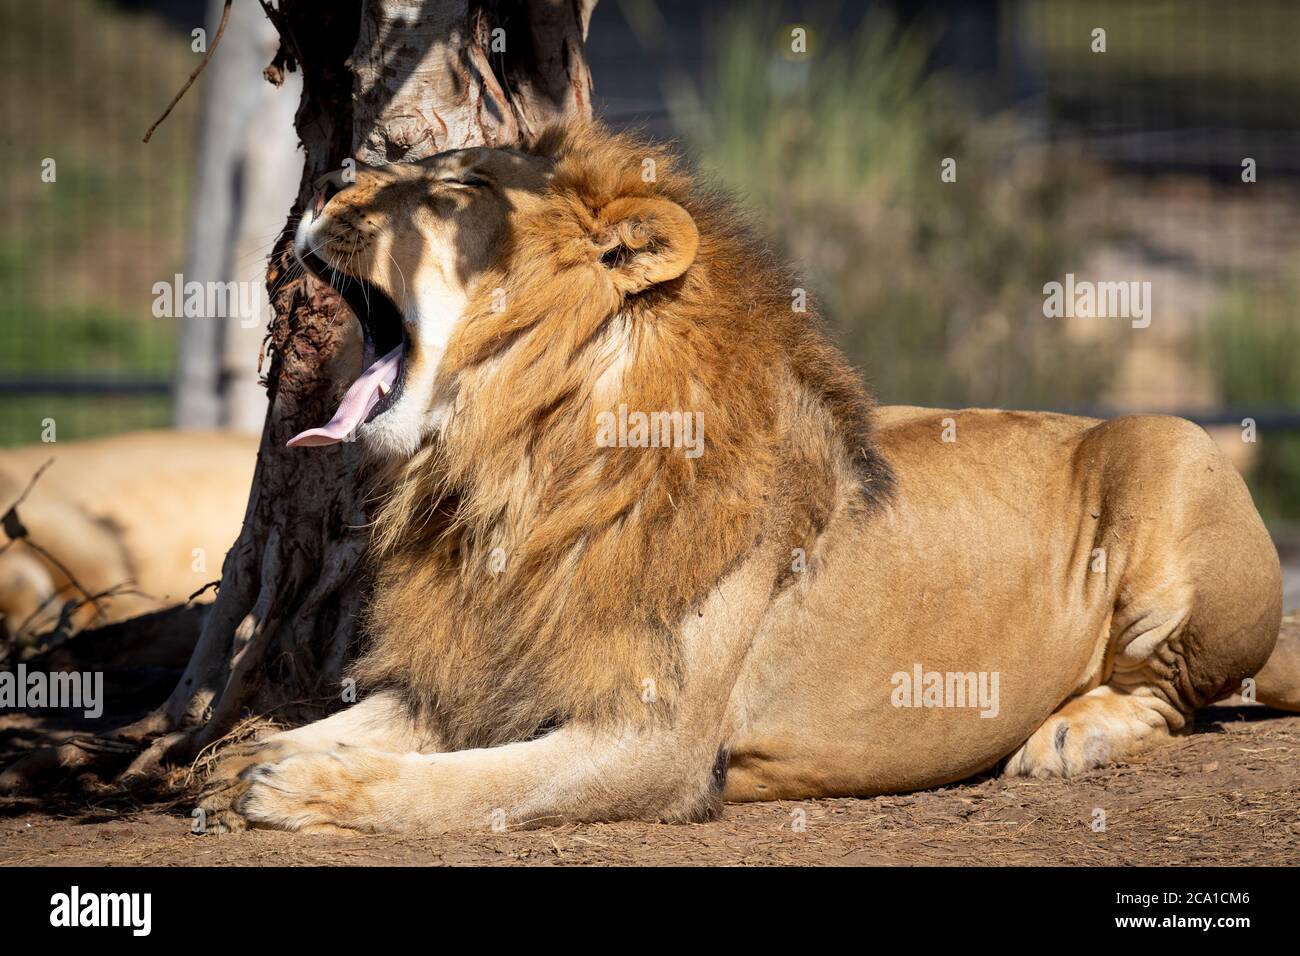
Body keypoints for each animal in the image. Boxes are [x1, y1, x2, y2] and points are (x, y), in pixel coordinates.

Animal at [199, 122, 1299, 834]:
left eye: (457, 193)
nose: (324, 180)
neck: (518, 471)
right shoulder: (479, 670)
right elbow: (355, 725)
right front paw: (245, 759)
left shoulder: (656, 744)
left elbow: (465, 789)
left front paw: (303, 791)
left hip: (1174, 450)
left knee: (1171, 696)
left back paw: (1076, 732)